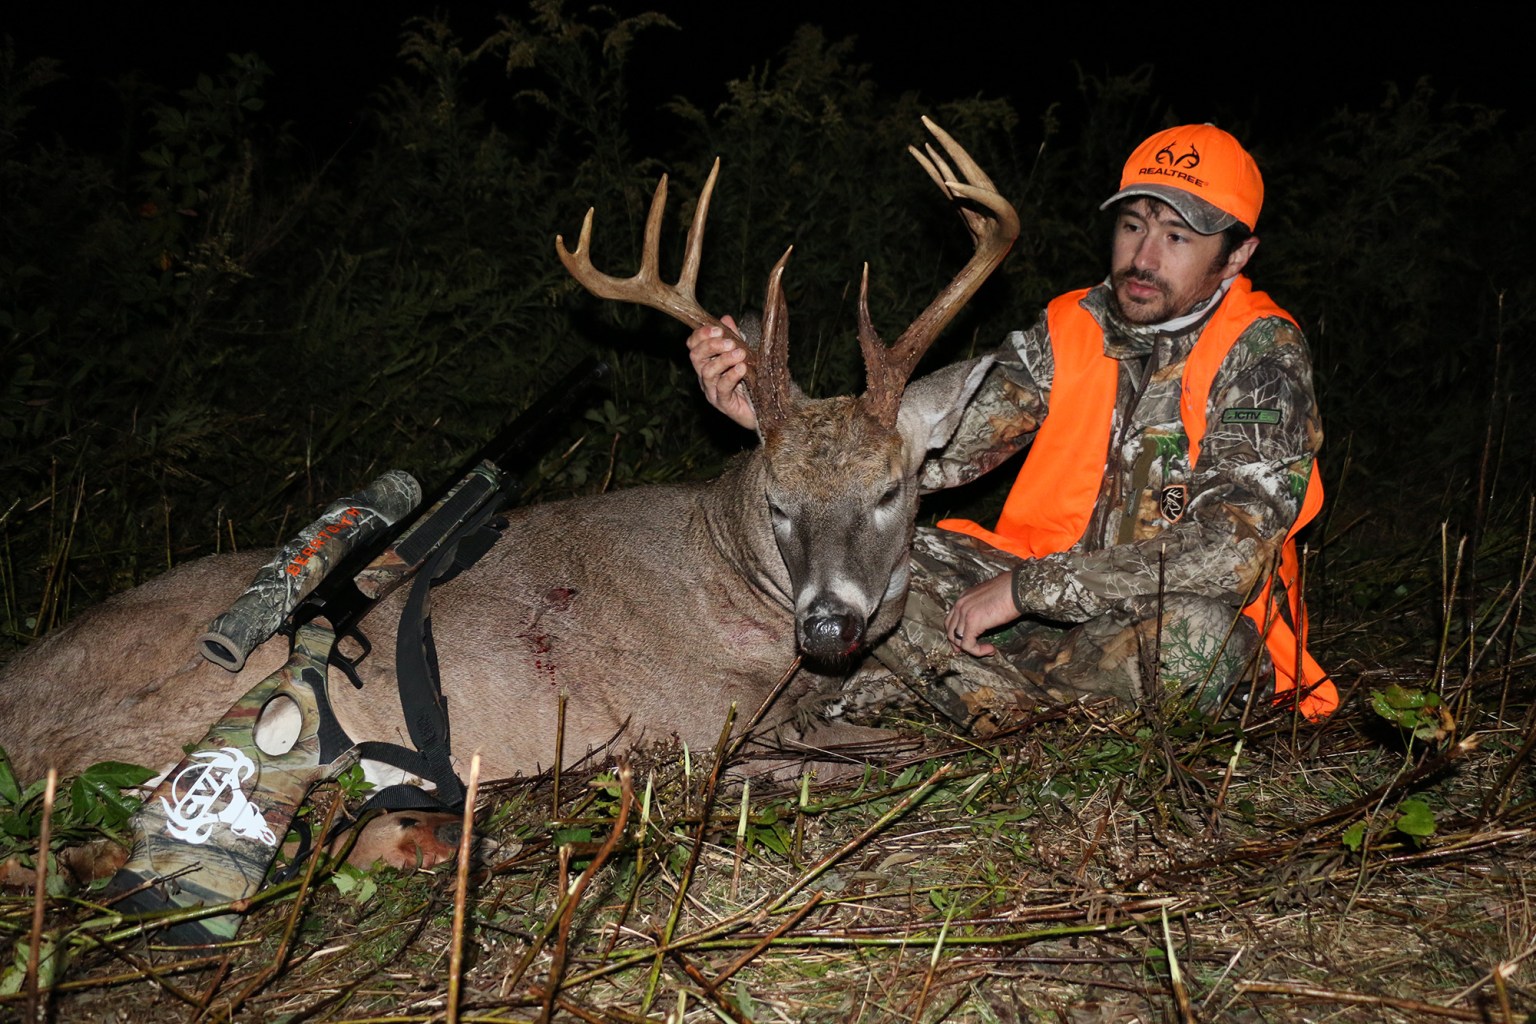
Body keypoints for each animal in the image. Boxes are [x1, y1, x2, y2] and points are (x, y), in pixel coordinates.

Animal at [0, 118, 1018, 878]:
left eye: (892, 487)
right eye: (776, 500)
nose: (830, 627)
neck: (741, 586)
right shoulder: (690, 726)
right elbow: (860, 754)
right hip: (179, 716)